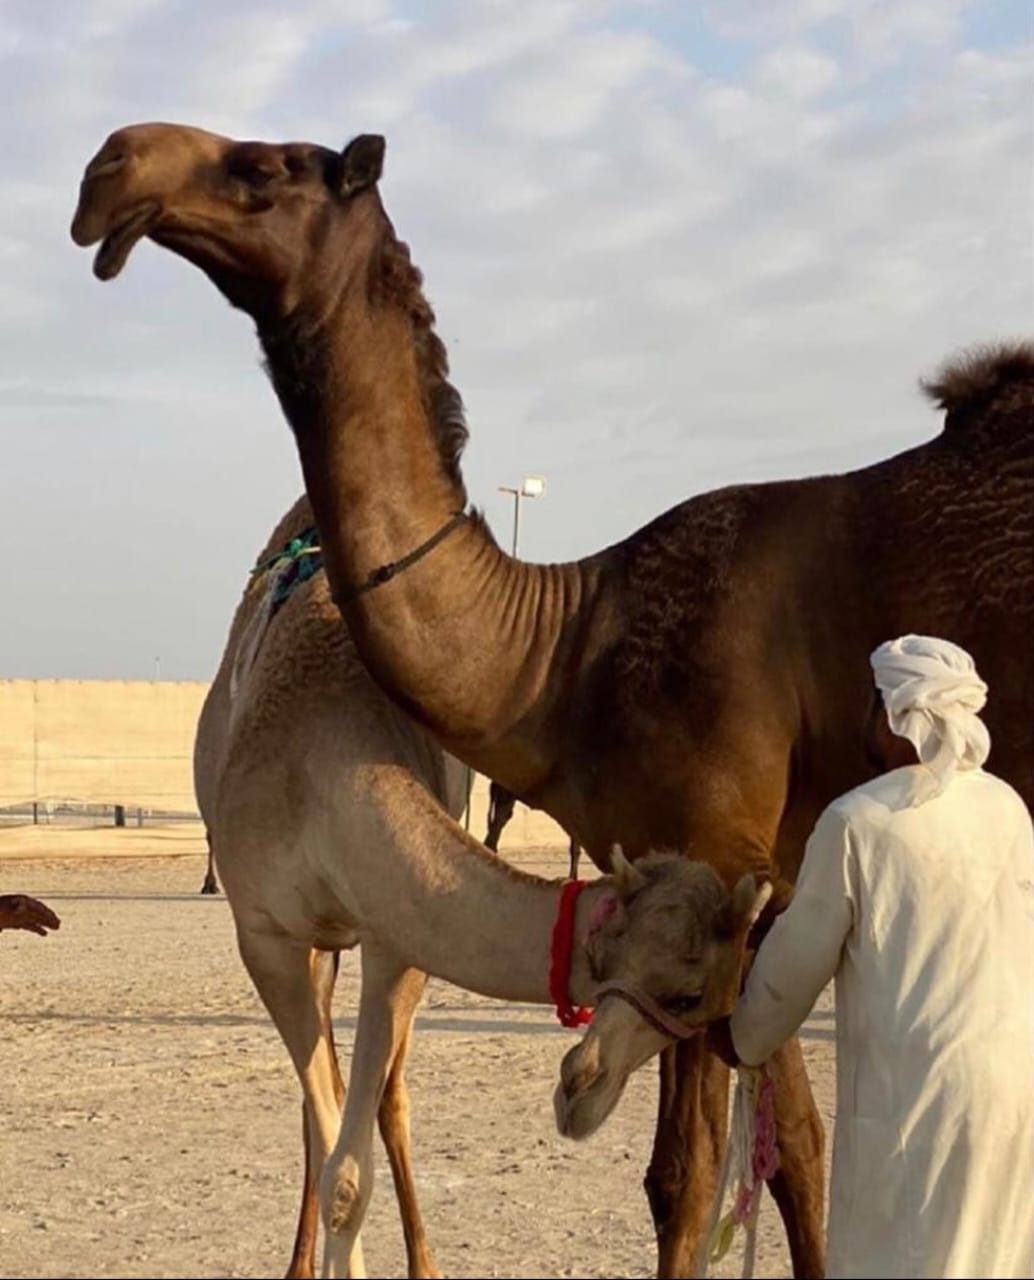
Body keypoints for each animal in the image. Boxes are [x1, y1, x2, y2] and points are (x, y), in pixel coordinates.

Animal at [71, 122, 1034, 1279]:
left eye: (267, 168)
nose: (111, 166)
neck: (565, 647)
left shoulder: (718, 848)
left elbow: (689, 1169)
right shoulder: (755, 878)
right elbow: (786, 1146)